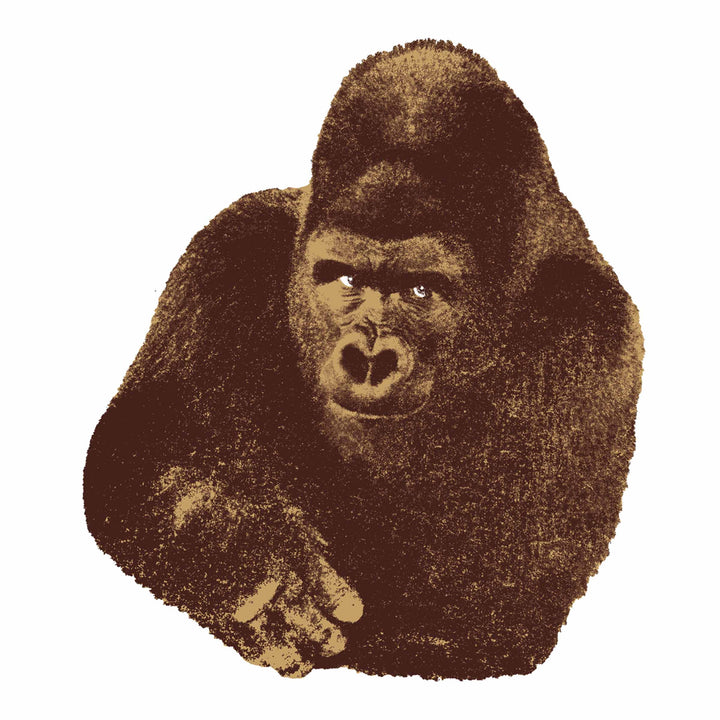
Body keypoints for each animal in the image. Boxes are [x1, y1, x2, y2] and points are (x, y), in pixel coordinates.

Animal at [84, 40, 643, 680]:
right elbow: (134, 447)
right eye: (345, 279)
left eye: (422, 291)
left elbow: (476, 613)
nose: (369, 359)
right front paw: (238, 547)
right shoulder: (227, 244)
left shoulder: (595, 336)